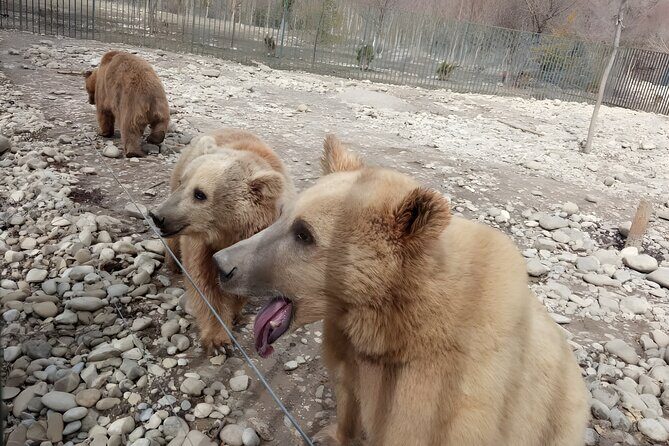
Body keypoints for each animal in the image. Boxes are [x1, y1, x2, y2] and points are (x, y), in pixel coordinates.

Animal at [150, 128, 293, 352]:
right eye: (184, 182)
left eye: (200, 194)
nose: (158, 216)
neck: (230, 232)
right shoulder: (202, 244)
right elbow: (204, 283)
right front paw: (218, 339)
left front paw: (234, 312)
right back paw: (173, 263)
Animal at [212, 135, 589, 445]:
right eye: (283, 215)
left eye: (304, 233)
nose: (222, 264)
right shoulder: (353, 351)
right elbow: (347, 393)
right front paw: (330, 434)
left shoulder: (446, 396)